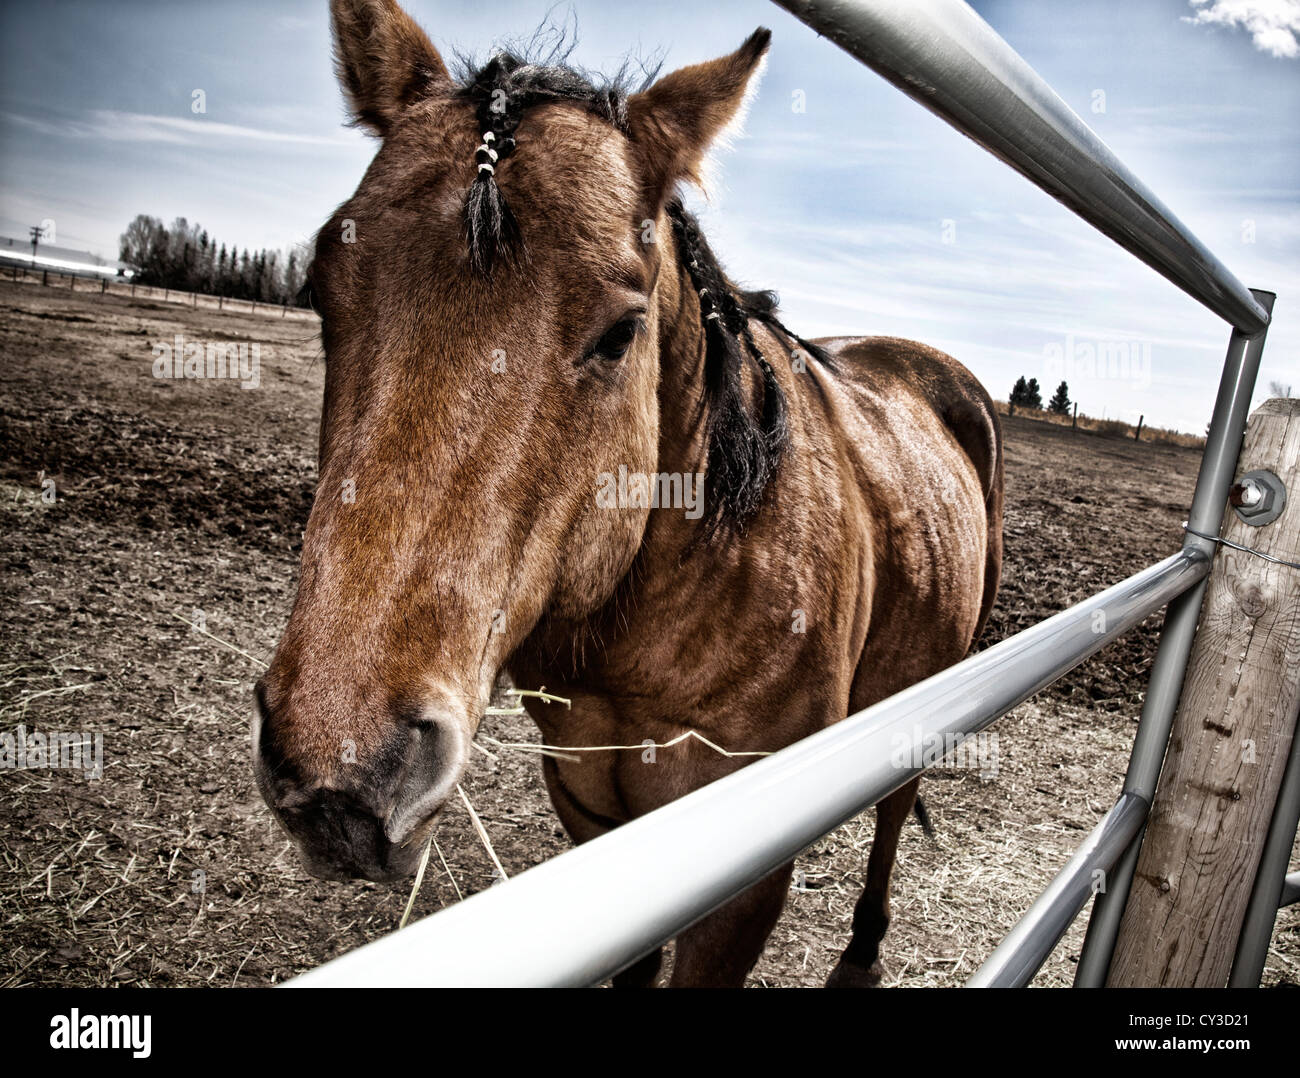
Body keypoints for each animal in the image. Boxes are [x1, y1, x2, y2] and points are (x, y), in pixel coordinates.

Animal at [253, 0, 1003, 988]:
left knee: (890, 815)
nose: (343, 771)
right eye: (320, 287)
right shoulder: (596, 818)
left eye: (621, 331)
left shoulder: (743, 884)